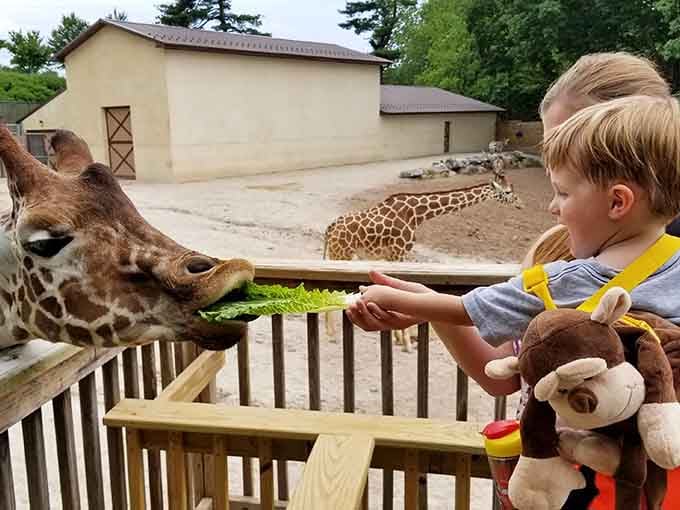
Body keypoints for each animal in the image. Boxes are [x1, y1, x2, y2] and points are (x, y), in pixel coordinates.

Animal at [323, 168, 522, 351]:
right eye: (507, 192)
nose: (520, 204)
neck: (417, 215)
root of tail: (329, 229)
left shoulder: (397, 255)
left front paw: (401, 339)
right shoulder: (398, 252)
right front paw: (406, 343)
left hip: (337, 254)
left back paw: (330, 333)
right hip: (341, 254)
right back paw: (332, 335)